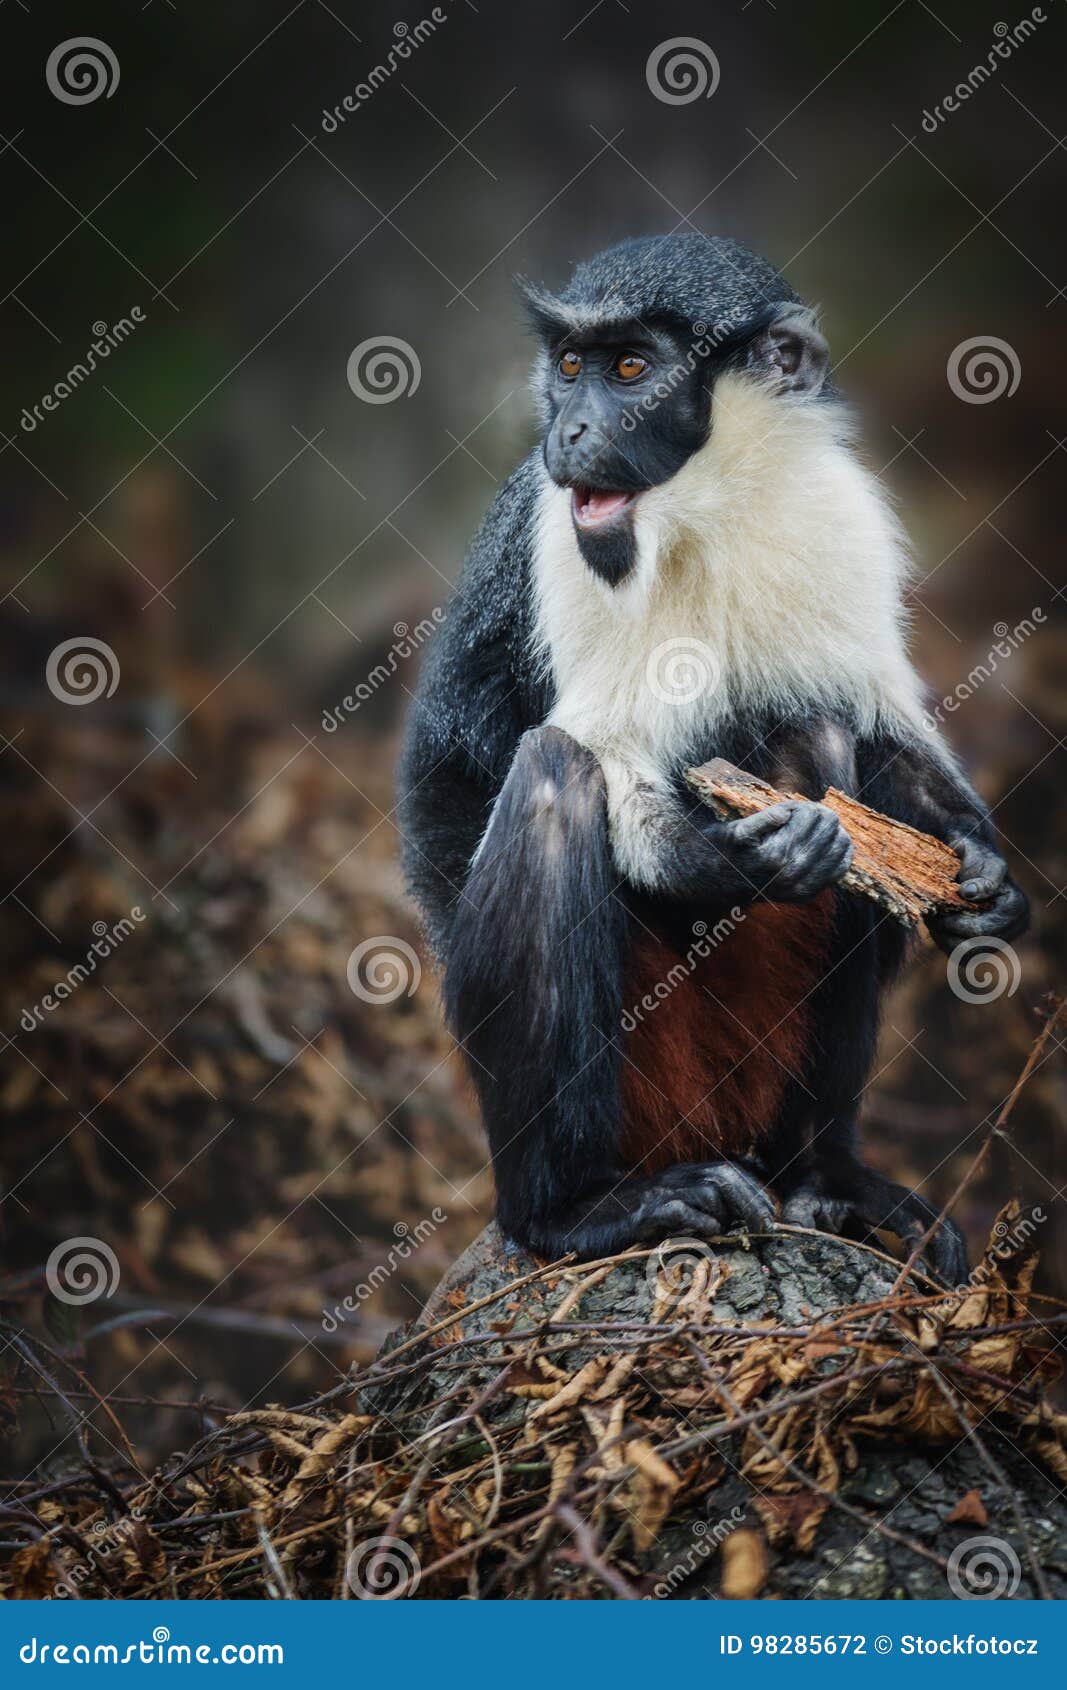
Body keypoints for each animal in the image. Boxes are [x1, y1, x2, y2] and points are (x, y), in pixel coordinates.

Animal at [398, 233, 1029, 1284]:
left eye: (628, 368)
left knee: (819, 726)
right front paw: (733, 859)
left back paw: (824, 1176)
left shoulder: (839, 512)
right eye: (568, 364)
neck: (710, 503)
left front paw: (981, 871)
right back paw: (572, 1210)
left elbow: (874, 722)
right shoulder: (561, 540)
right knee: (553, 773)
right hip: (645, 1082)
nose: (569, 428)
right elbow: (600, 759)